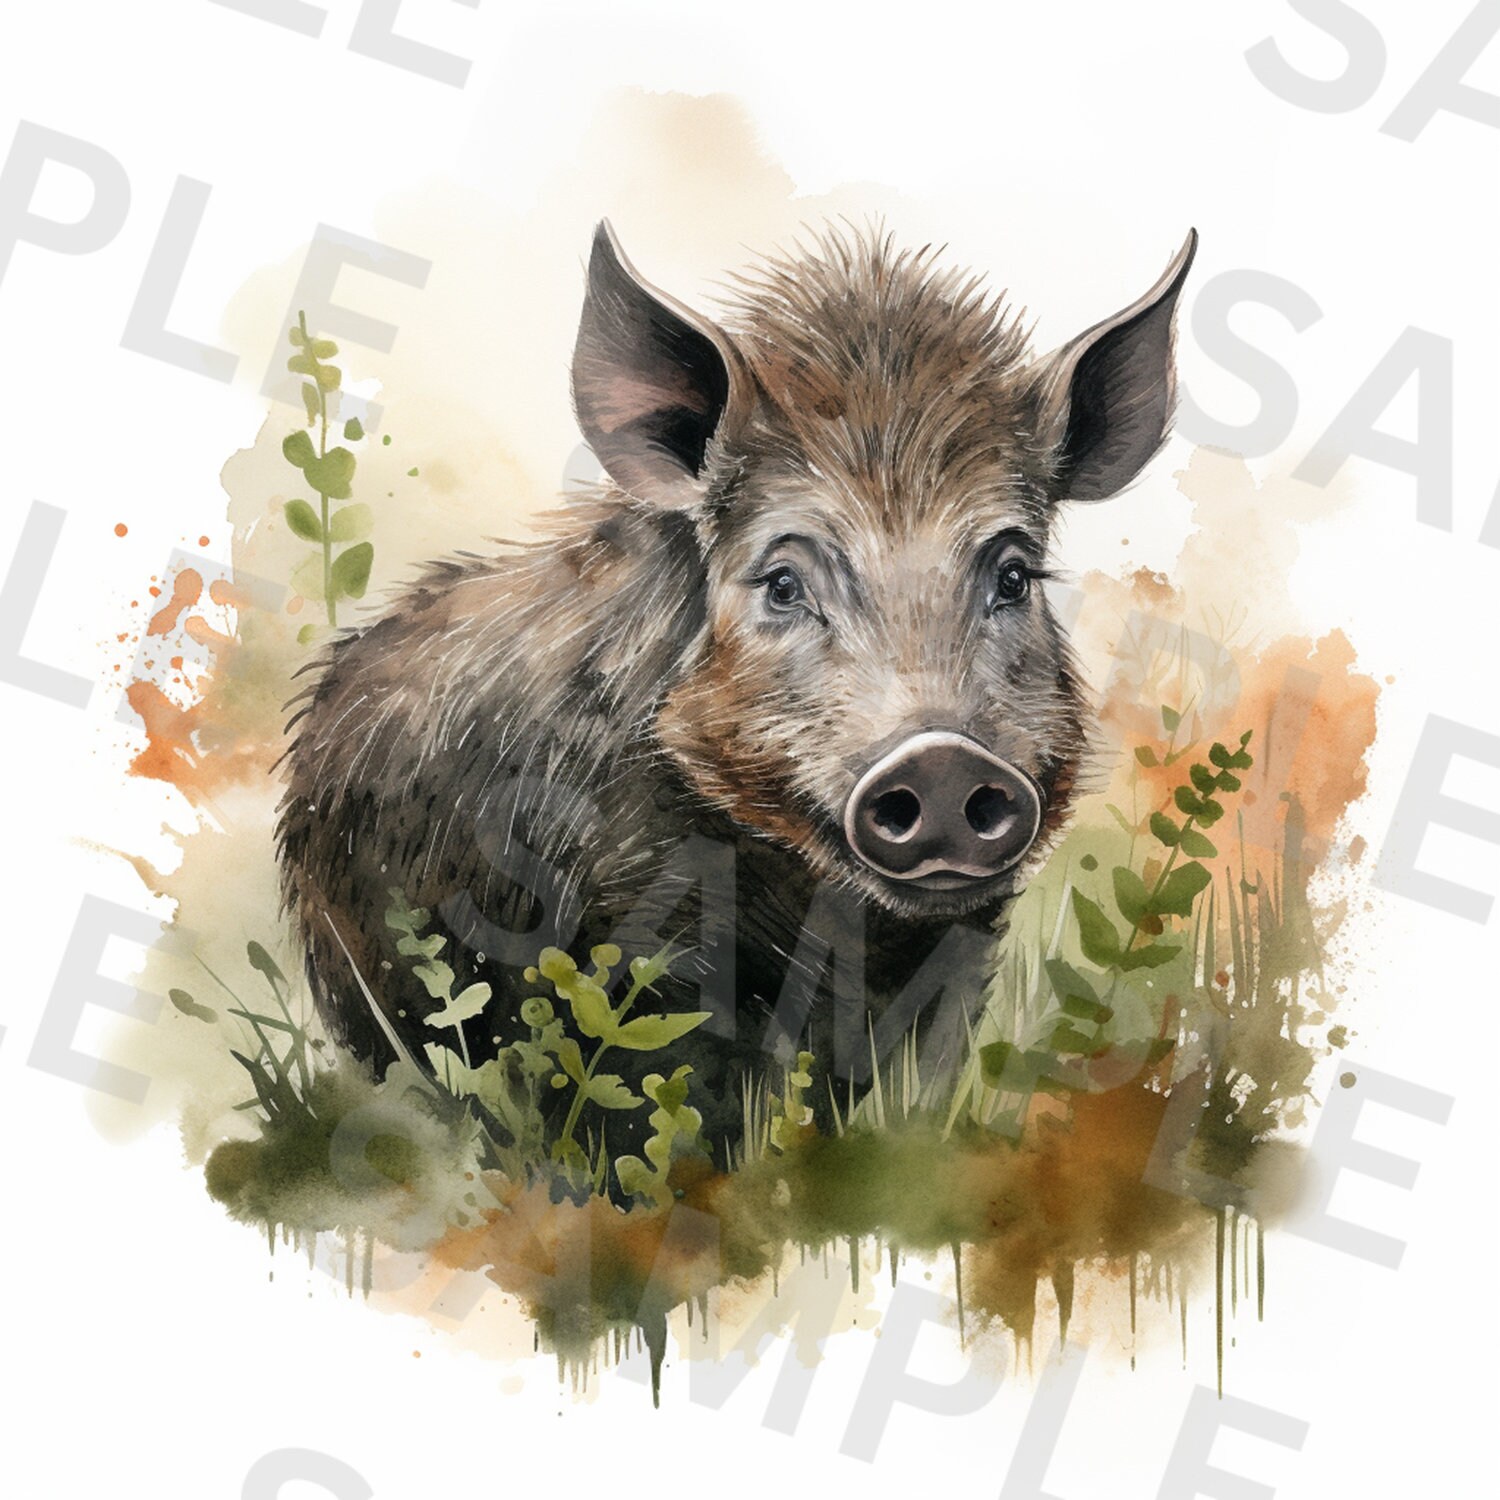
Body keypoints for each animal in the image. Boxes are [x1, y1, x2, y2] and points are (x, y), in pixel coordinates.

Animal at [277, 220, 1197, 1156]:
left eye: (1013, 573)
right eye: (783, 581)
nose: (941, 759)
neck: (825, 911)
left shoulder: (954, 961)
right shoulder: (625, 951)